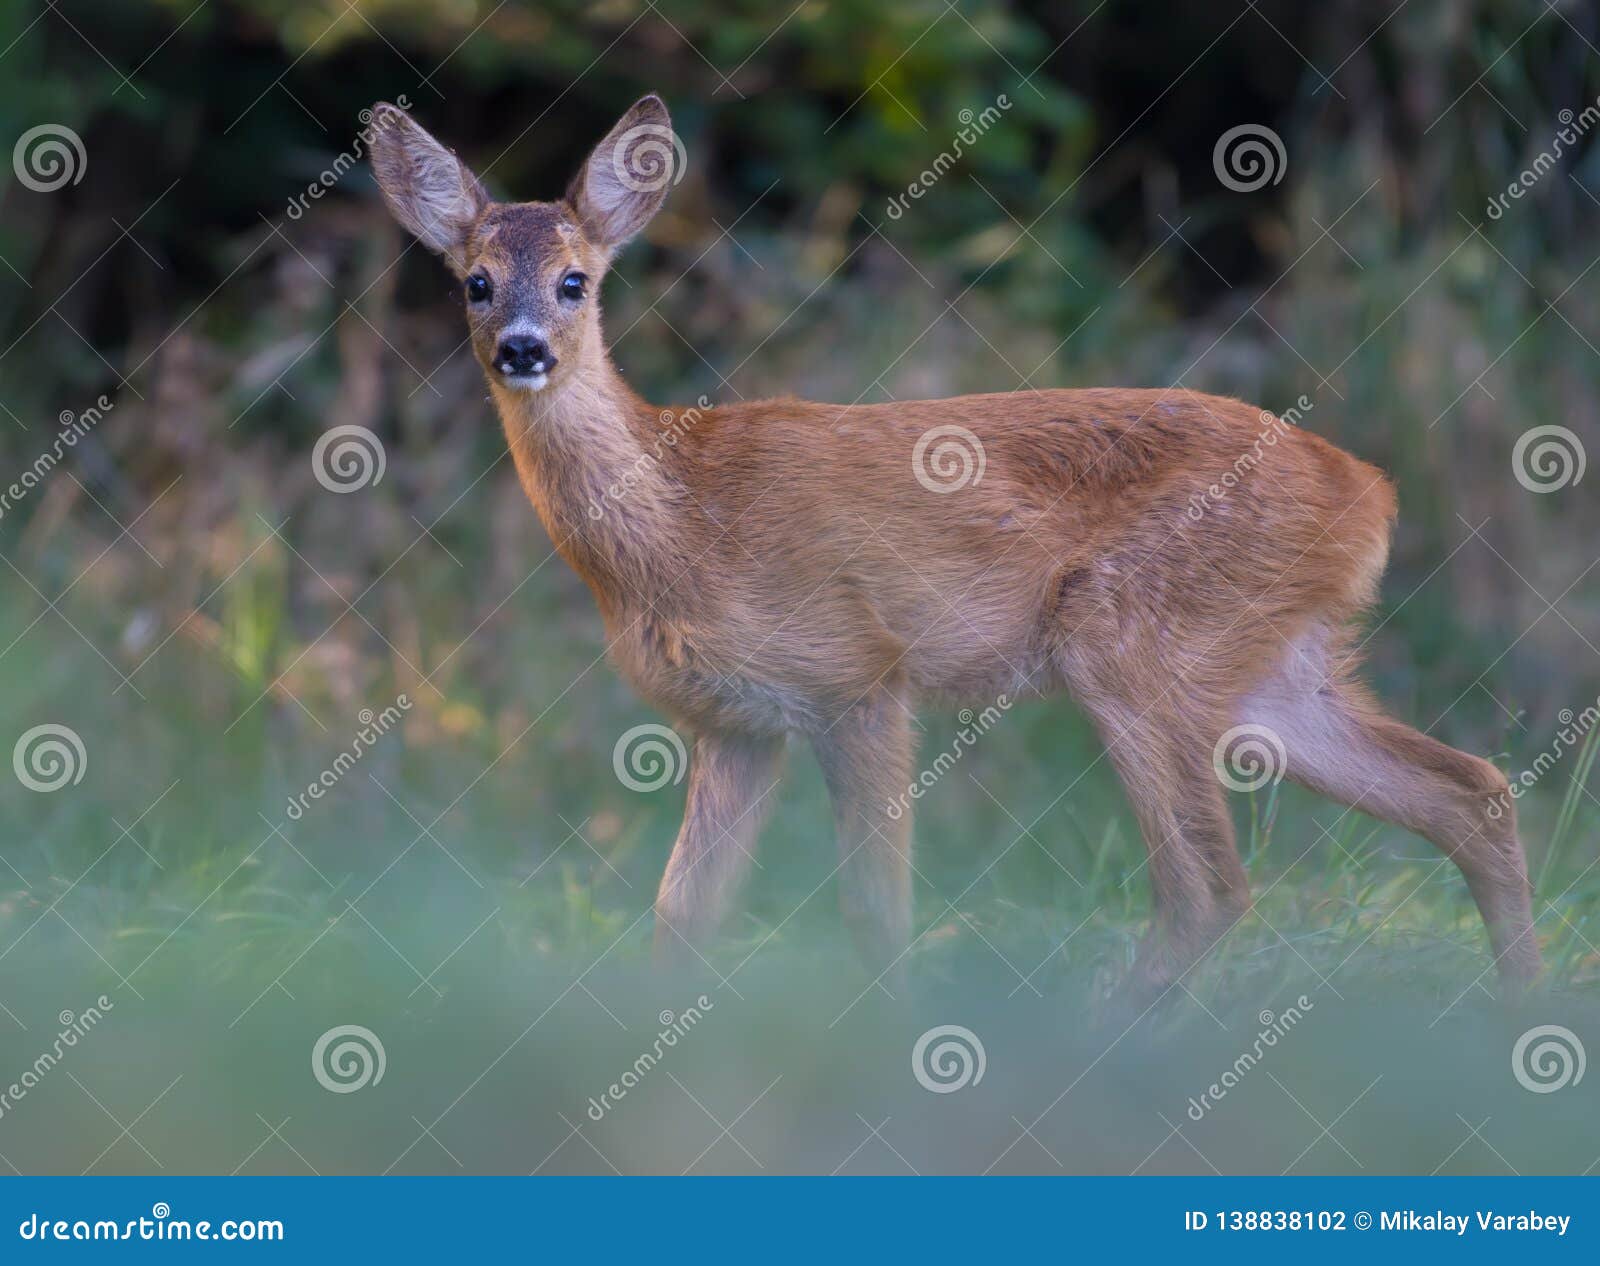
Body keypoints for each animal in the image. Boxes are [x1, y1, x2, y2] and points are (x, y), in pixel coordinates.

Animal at [368, 95, 1540, 1007]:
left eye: (575, 280)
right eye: (474, 282)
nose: (523, 350)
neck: (682, 520)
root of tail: (1370, 492)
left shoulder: (862, 673)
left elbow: (873, 910)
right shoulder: (736, 724)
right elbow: (679, 920)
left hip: (1131, 640)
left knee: (1208, 885)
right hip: (1269, 671)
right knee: (1471, 790)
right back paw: (1520, 1026)